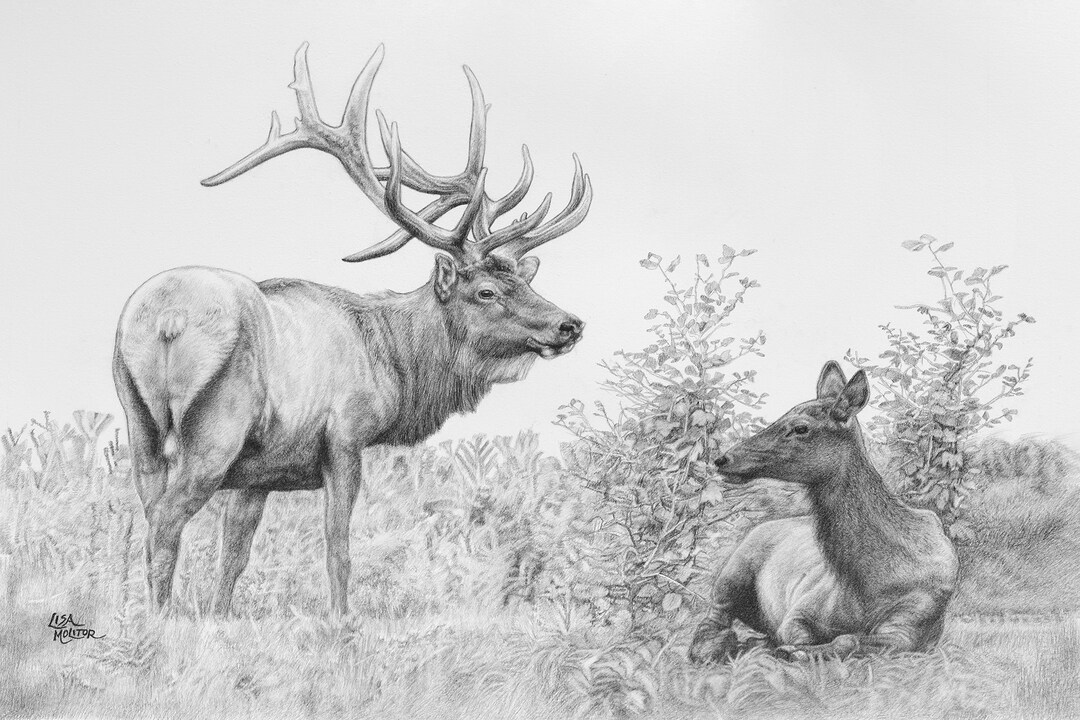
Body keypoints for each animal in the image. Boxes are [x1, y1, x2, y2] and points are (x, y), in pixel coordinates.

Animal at [112, 44, 592, 616]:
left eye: (523, 278)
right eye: (486, 292)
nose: (570, 324)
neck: (395, 362)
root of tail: (167, 319)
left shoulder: (259, 471)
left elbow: (234, 555)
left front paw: (218, 618)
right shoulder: (344, 437)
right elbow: (337, 547)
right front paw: (341, 620)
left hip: (138, 422)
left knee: (148, 513)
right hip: (214, 430)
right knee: (166, 523)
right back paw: (159, 620)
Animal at [688, 361, 958, 663]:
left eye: (800, 427)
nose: (722, 459)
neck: (871, 583)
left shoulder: (913, 621)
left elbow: (847, 640)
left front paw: (792, 651)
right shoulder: (801, 609)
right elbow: (802, 636)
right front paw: (786, 649)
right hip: (731, 574)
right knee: (711, 621)